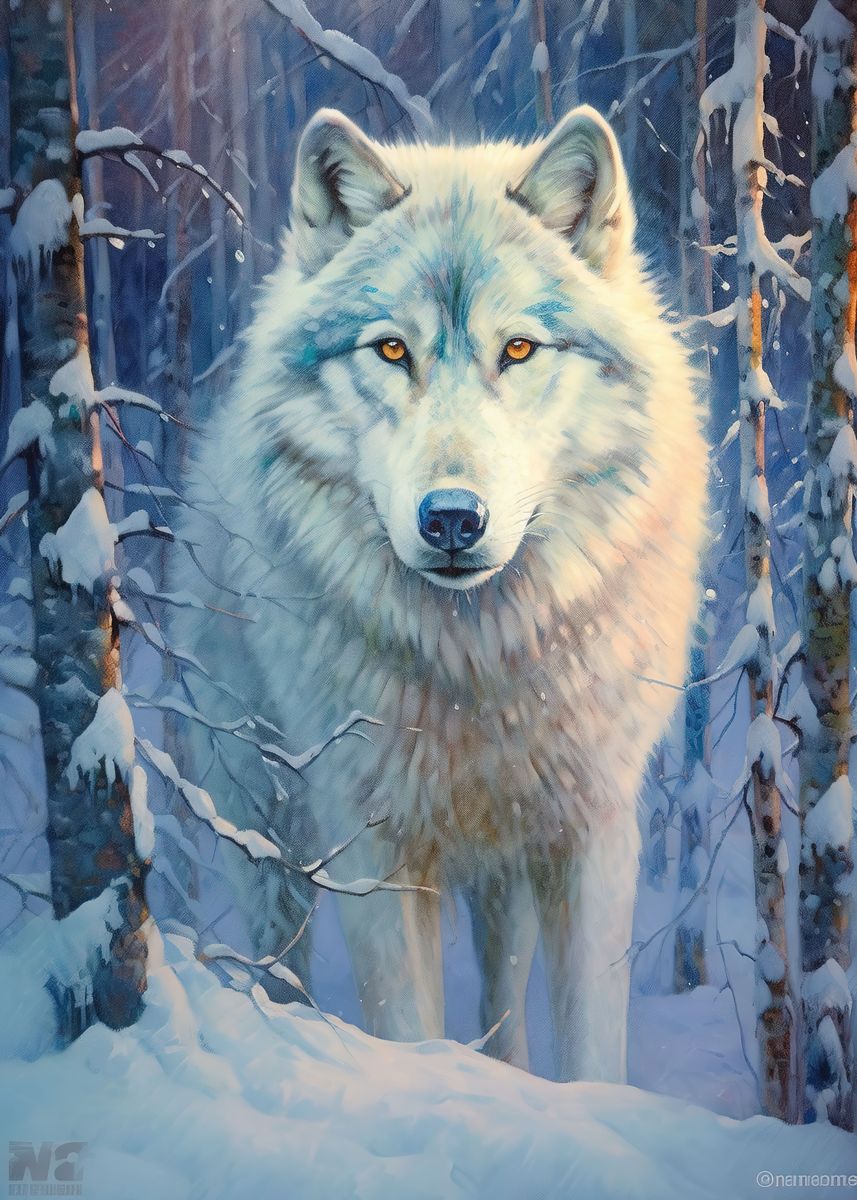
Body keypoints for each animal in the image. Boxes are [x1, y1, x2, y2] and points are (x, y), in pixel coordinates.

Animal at [174, 105, 706, 1083]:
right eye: (392, 349)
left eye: (519, 349)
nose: (452, 519)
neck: (477, 666)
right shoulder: (371, 845)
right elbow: (404, 1027)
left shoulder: (591, 832)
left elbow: (590, 1048)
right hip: (264, 822)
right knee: (275, 959)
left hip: (503, 872)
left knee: (501, 988)